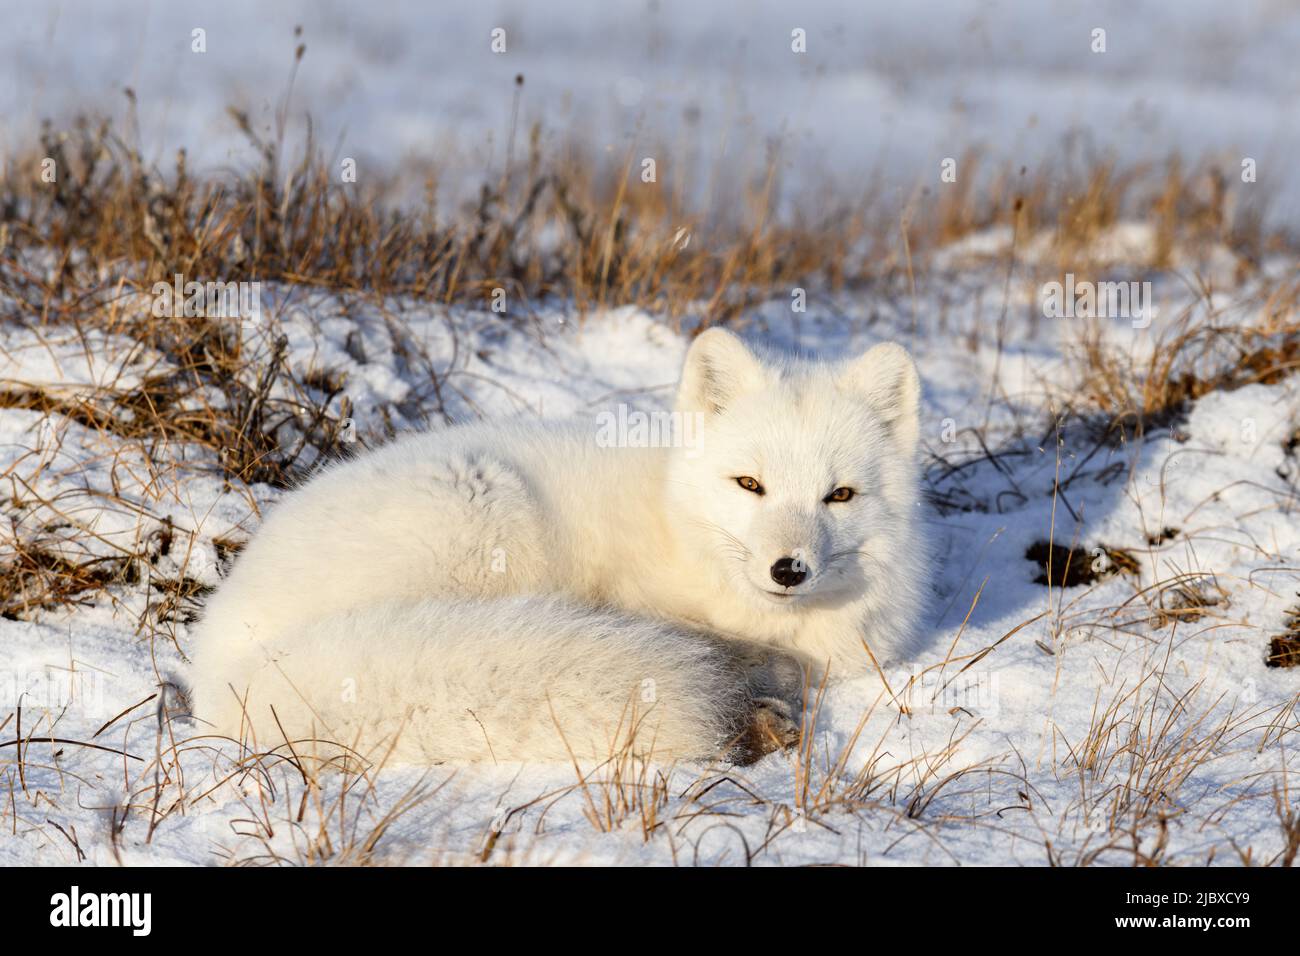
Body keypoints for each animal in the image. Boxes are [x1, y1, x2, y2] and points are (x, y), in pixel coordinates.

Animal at [189, 329, 927, 766]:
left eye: (839, 495)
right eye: (750, 484)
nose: (788, 569)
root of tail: (221, 663)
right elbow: (751, 655)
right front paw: (755, 681)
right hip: (488, 508)